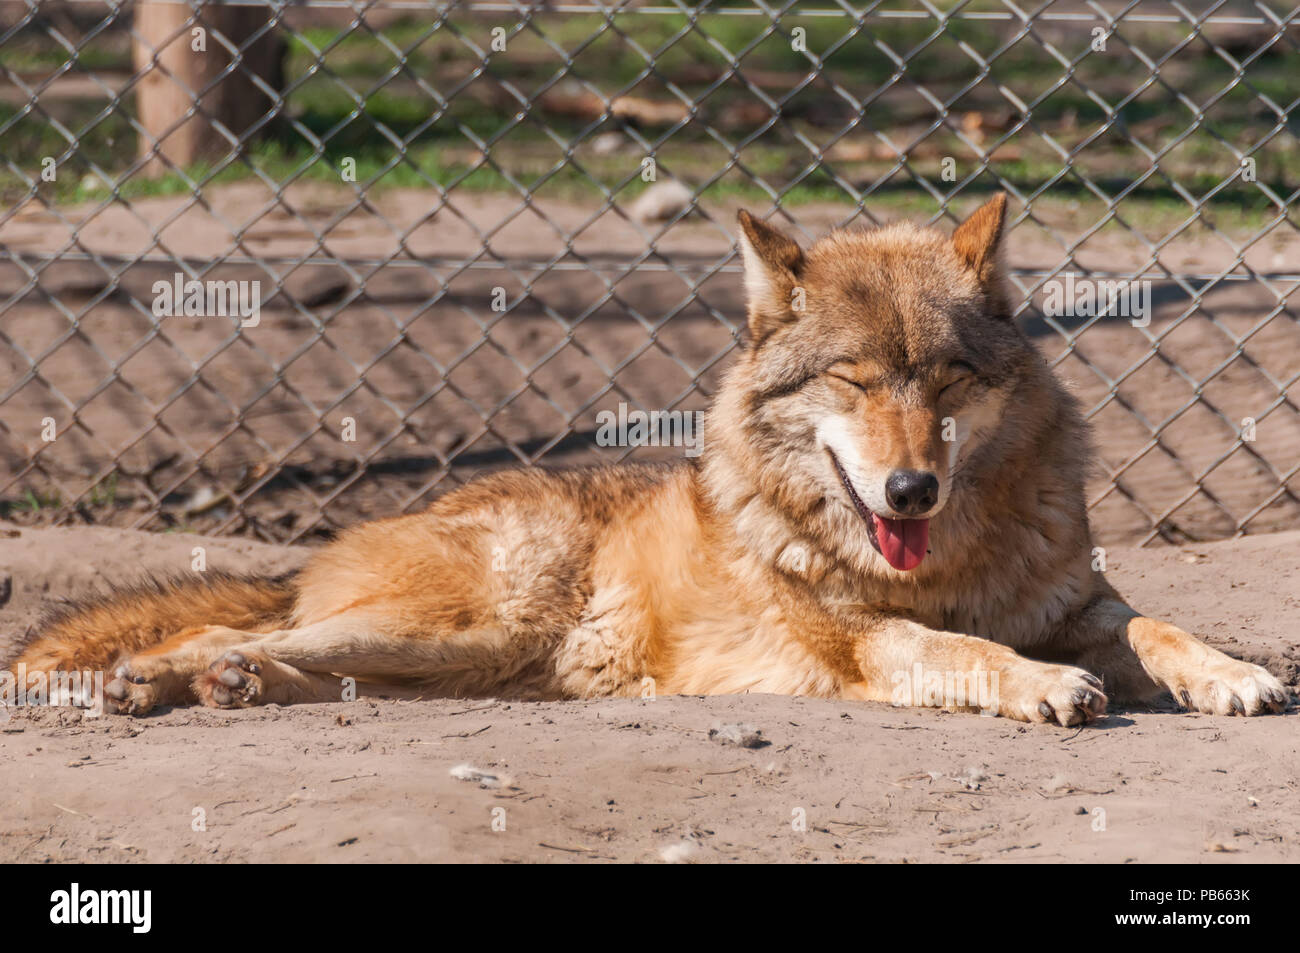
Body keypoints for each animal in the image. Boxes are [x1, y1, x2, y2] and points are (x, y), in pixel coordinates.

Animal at [9, 194, 1290, 724]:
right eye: (852, 381)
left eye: (942, 378)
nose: (909, 486)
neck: (946, 557)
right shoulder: (861, 637)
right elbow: (959, 648)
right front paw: (1038, 684)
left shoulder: (1079, 602)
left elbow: (1156, 626)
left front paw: (1231, 673)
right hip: (468, 624)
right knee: (213, 625)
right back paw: (152, 680)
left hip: (458, 659)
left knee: (272, 654)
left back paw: (221, 686)